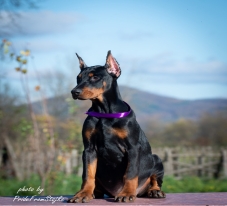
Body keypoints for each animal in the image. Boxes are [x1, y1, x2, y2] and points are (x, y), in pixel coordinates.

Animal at [68, 51, 166, 203]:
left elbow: (130, 173)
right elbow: (88, 174)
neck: (104, 113)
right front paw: (83, 193)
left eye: (95, 77)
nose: (74, 92)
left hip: (156, 159)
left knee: (155, 179)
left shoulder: (133, 148)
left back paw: (154, 191)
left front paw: (126, 193)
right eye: (78, 78)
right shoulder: (89, 149)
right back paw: (94, 192)